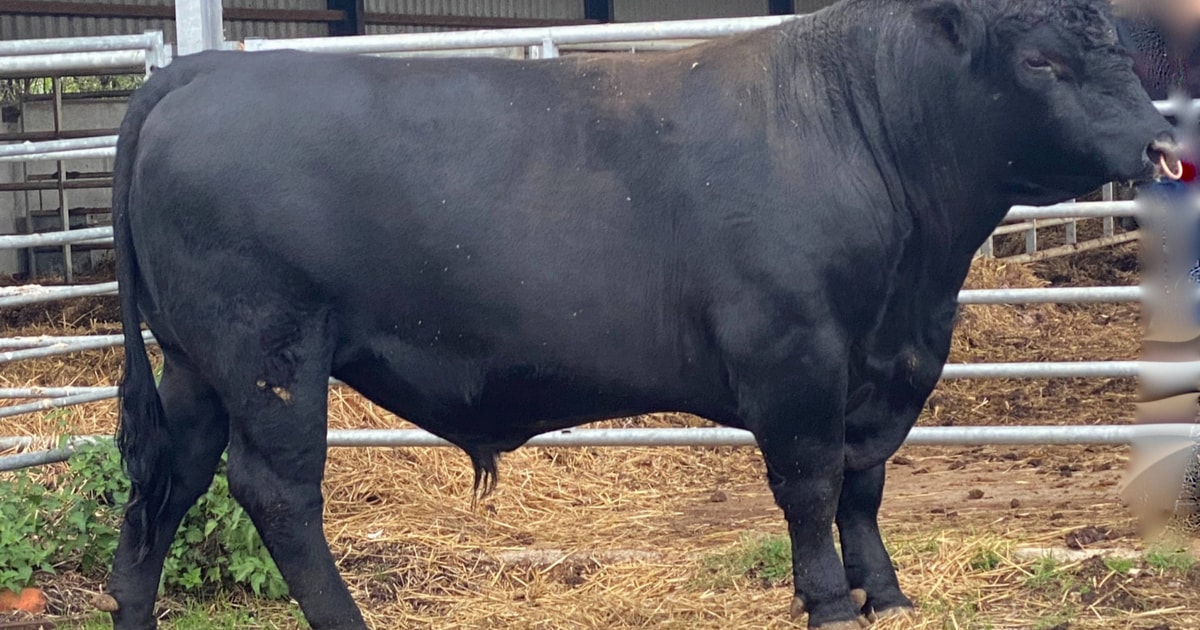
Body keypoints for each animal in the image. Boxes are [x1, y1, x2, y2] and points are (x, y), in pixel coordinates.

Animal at [99, 0, 1179, 628]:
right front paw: (830, 601)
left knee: (163, 490)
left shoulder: (884, 373)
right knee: (276, 492)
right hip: (268, 351)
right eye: (1039, 62)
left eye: (1123, 48)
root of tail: (201, 70)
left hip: (195, 365)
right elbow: (811, 487)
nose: (1160, 143)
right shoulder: (794, 359)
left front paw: (886, 591)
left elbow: (866, 485)